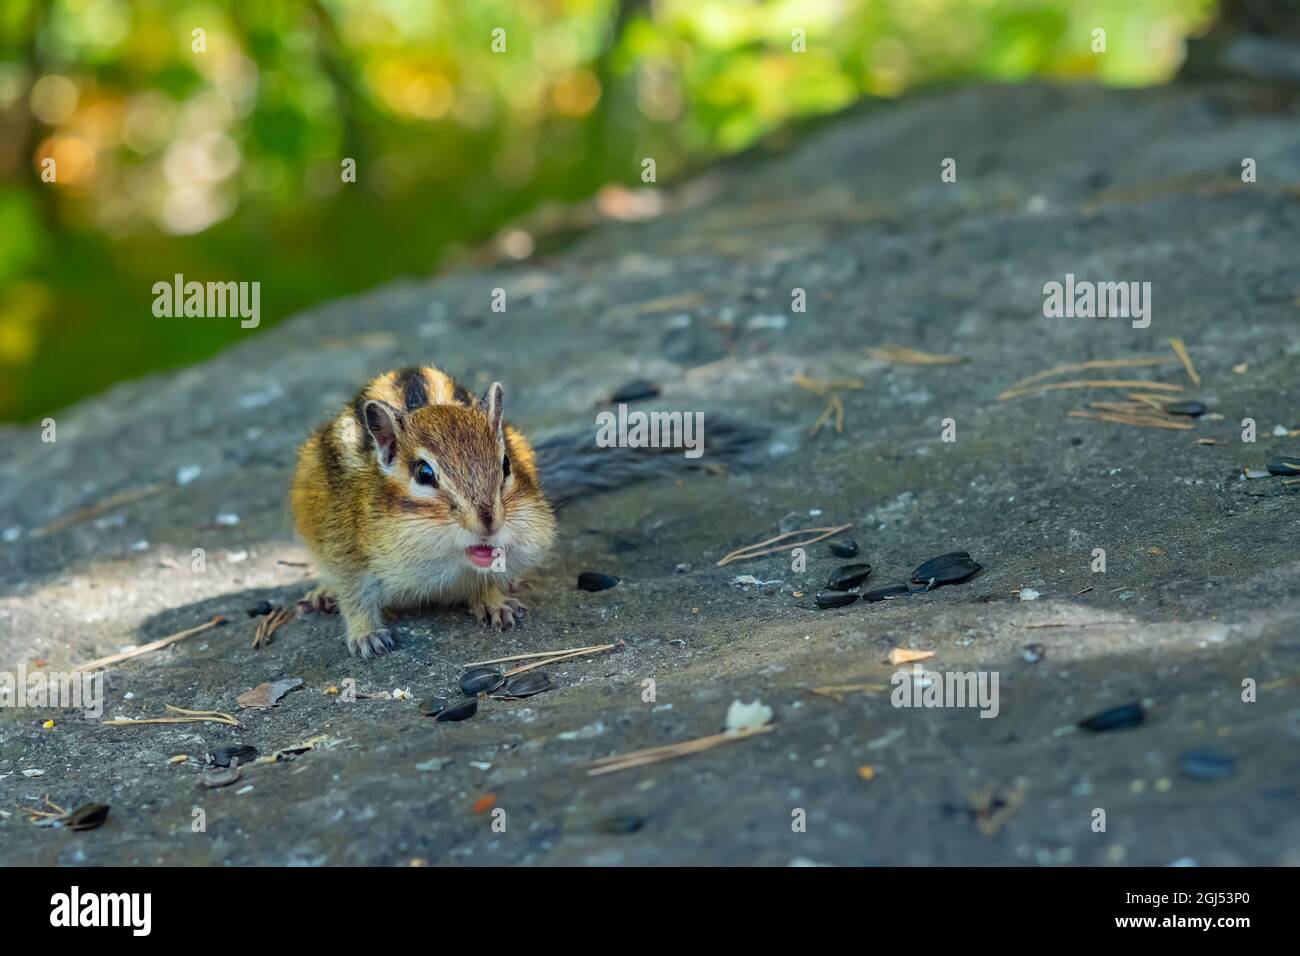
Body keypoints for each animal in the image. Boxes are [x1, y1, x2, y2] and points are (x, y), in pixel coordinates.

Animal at [292, 363, 767, 659]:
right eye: (424, 473)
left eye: (505, 465)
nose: (488, 522)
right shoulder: (345, 543)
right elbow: (355, 593)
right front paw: (366, 634)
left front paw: (495, 601)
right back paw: (321, 593)